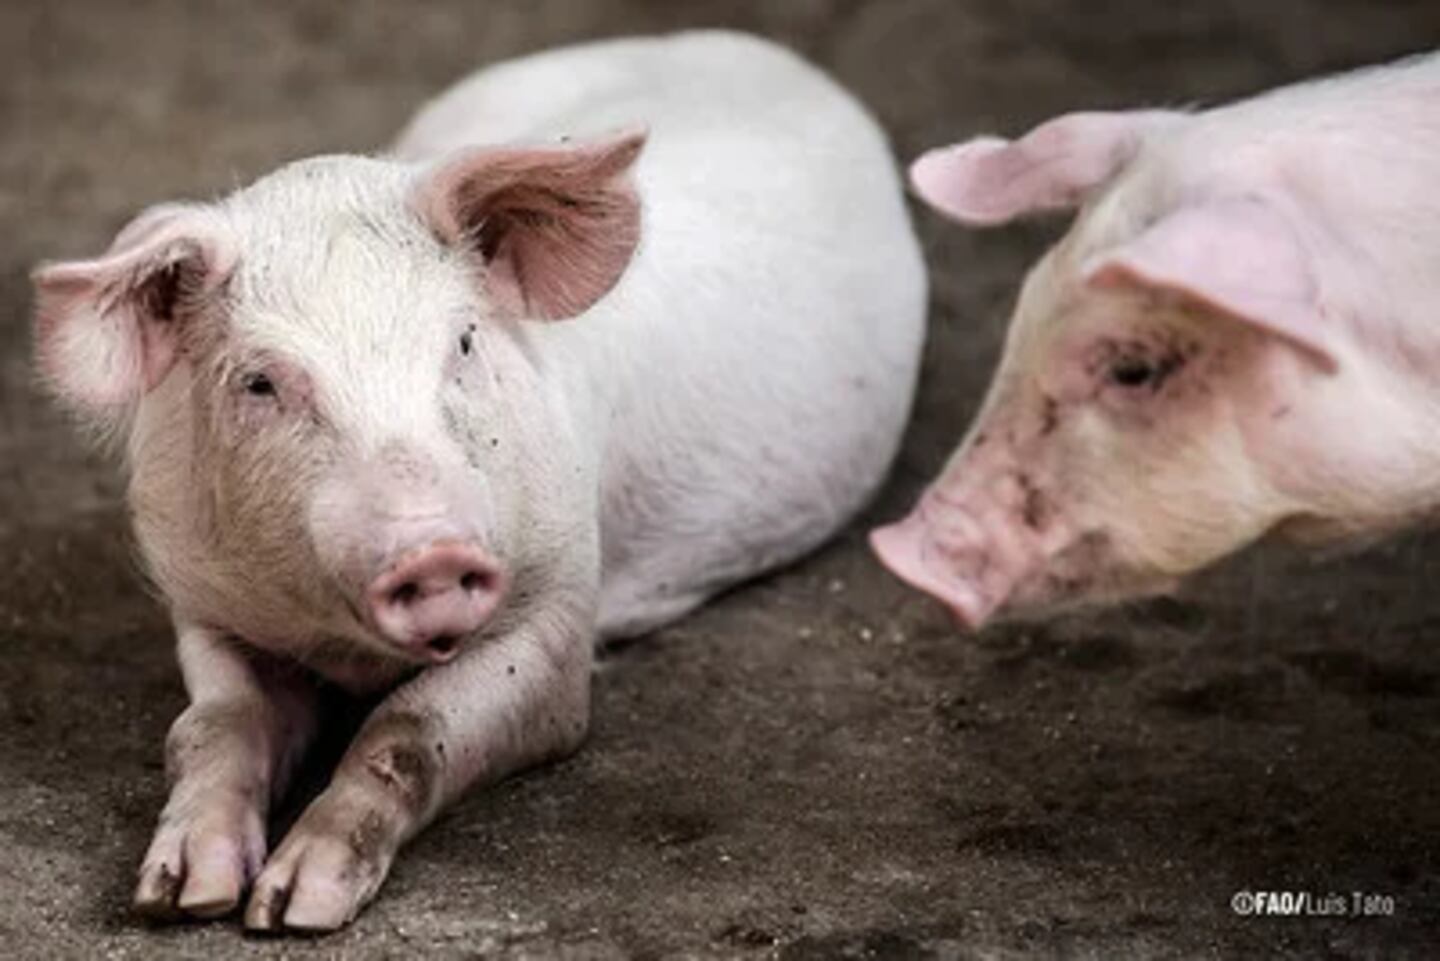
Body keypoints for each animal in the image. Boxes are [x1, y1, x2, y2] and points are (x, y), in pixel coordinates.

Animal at [32, 31, 925, 931]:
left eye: (462, 341)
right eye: (260, 382)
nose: (430, 551)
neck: (350, 651)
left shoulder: (561, 609)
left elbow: (408, 729)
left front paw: (297, 905)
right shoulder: (204, 603)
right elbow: (213, 724)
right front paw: (182, 895)